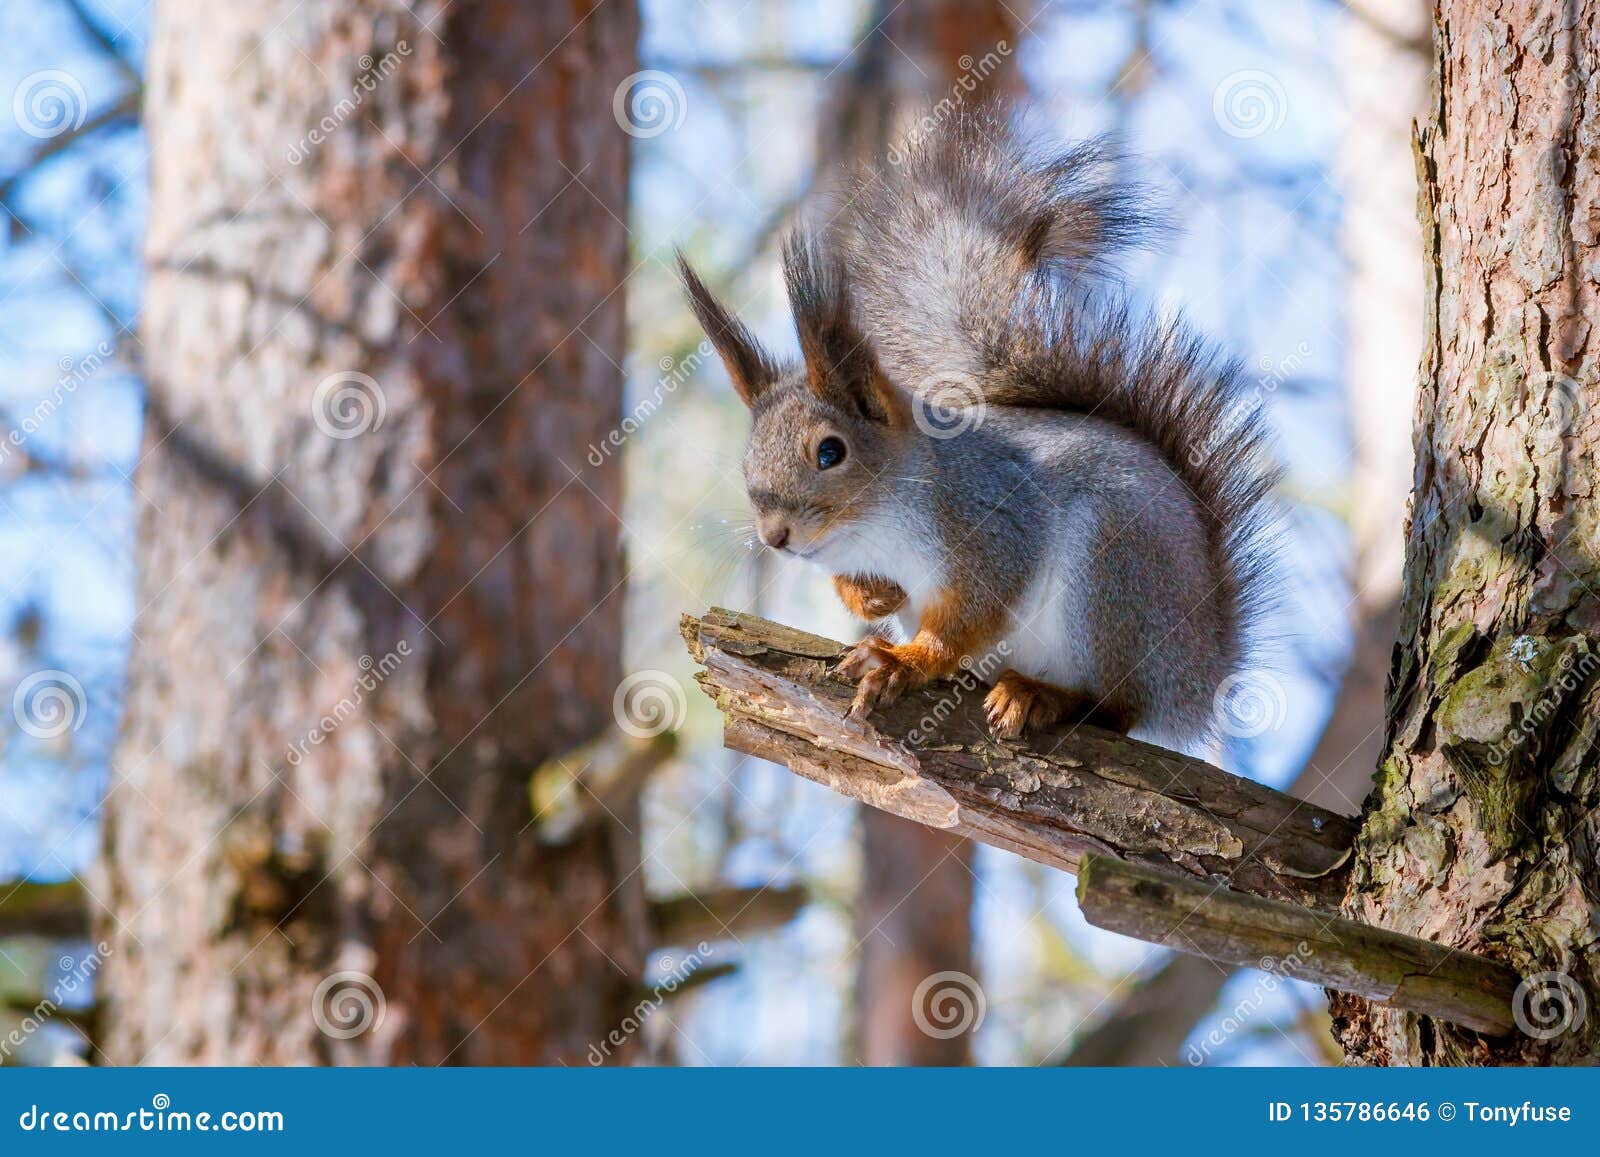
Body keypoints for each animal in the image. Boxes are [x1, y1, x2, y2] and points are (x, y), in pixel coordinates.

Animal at [677, 110, 1276, 747]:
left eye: (830, 452)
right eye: (746, 462)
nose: (775, 537)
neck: (878, 521)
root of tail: (1201, 670)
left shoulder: (994, 522)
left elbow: (971, 615)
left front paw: (906, 661)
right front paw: (874, 597)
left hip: (1113, 575)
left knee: (1118, 707)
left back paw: (1040, 695)